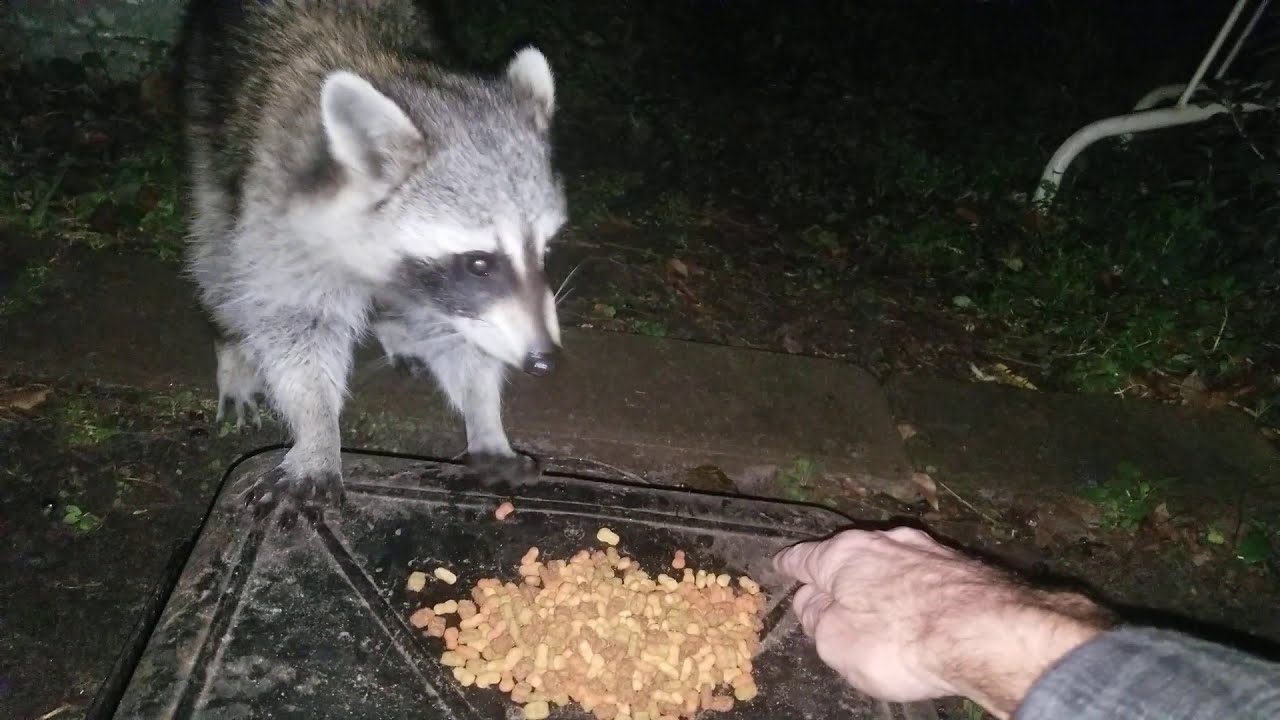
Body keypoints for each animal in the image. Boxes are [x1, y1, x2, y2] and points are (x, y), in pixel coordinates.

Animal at [173, 0, 567, 517]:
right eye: (480, 262)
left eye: (544, 250)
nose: (544, 361)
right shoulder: (277, 209)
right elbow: (294, 323)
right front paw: (317, 429)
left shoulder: (447, 292)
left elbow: (463, 331)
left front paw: (484, 414)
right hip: (207, 108)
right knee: (214, 245)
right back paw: (230, 342)